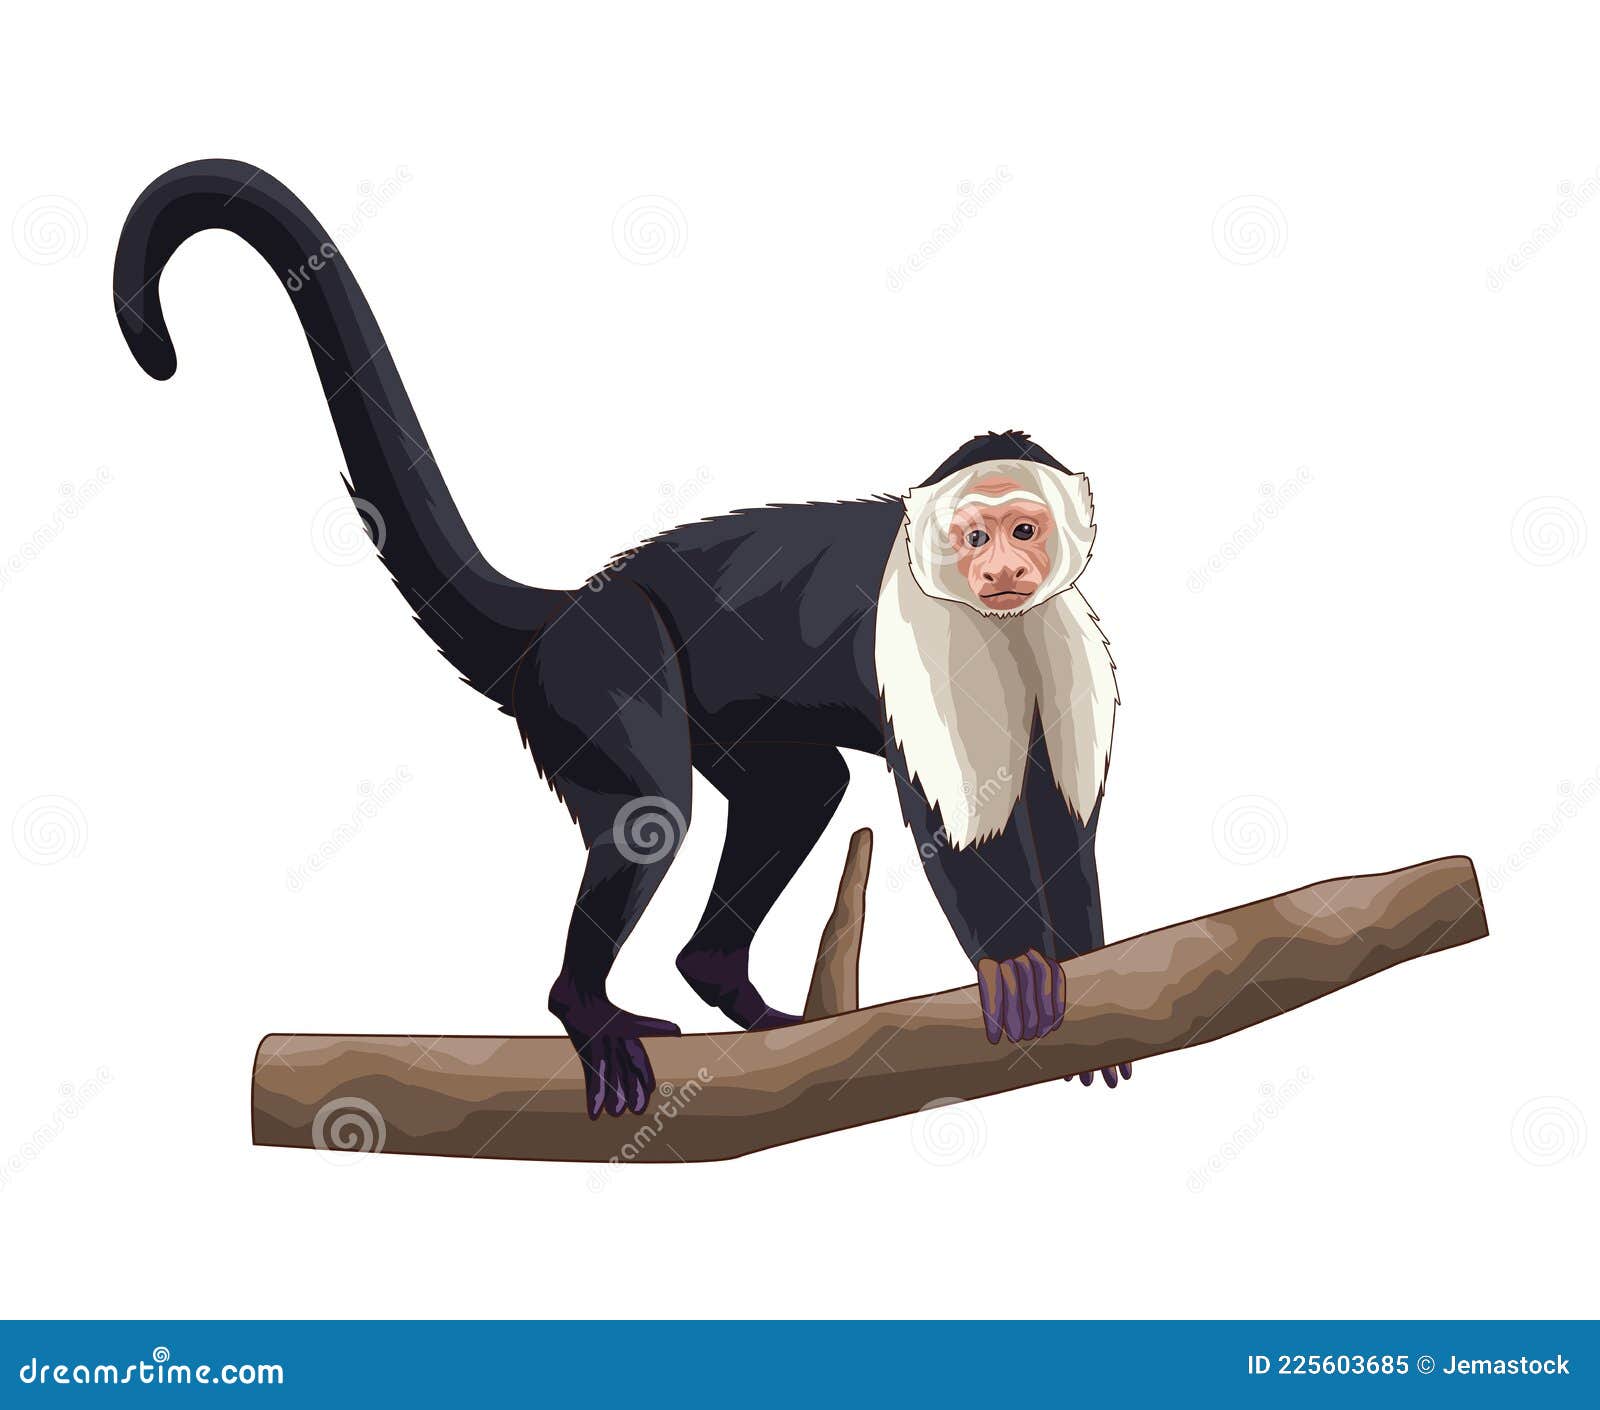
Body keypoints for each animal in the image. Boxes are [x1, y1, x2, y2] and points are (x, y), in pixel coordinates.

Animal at [114, 160, 1129, 1119]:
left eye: (1024, 529)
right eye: (974, 535)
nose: (1002, 568)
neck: (992, 622)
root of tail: (567, 606)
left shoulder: (1069, 636)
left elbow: (1057, 813)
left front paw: (1082, 958)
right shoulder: (925, 637)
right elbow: (955, 823)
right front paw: (1008, 966)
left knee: (796, 792)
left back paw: (731, 990)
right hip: (604, 658)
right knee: (653, 809)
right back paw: (586, 1008)